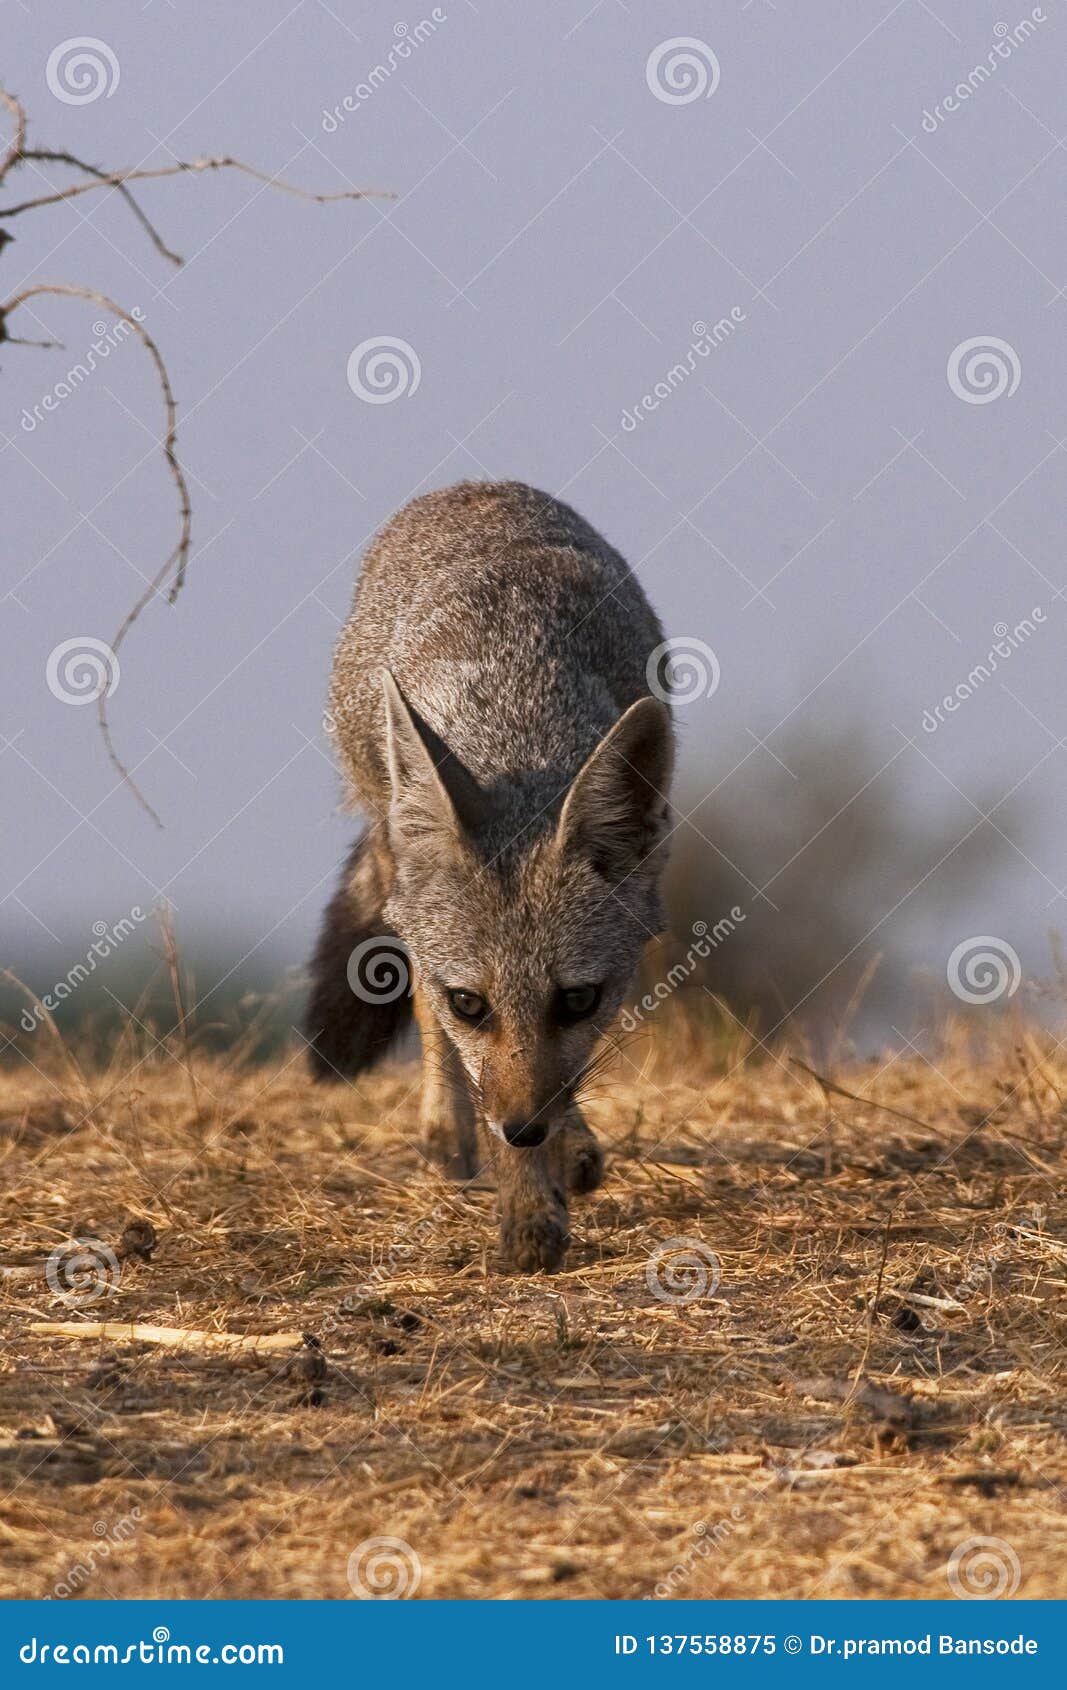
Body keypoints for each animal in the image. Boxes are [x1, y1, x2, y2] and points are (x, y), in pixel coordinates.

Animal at [305, 480, 674, 1272]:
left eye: (577, 999)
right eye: (471, 1004)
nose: (522, 1130)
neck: (518, 711)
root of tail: (478, 486)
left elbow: (567, 1075)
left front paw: (553, 1166)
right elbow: (462, 1052)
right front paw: (528, 1212)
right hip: (391, 847)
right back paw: (450, 1135)